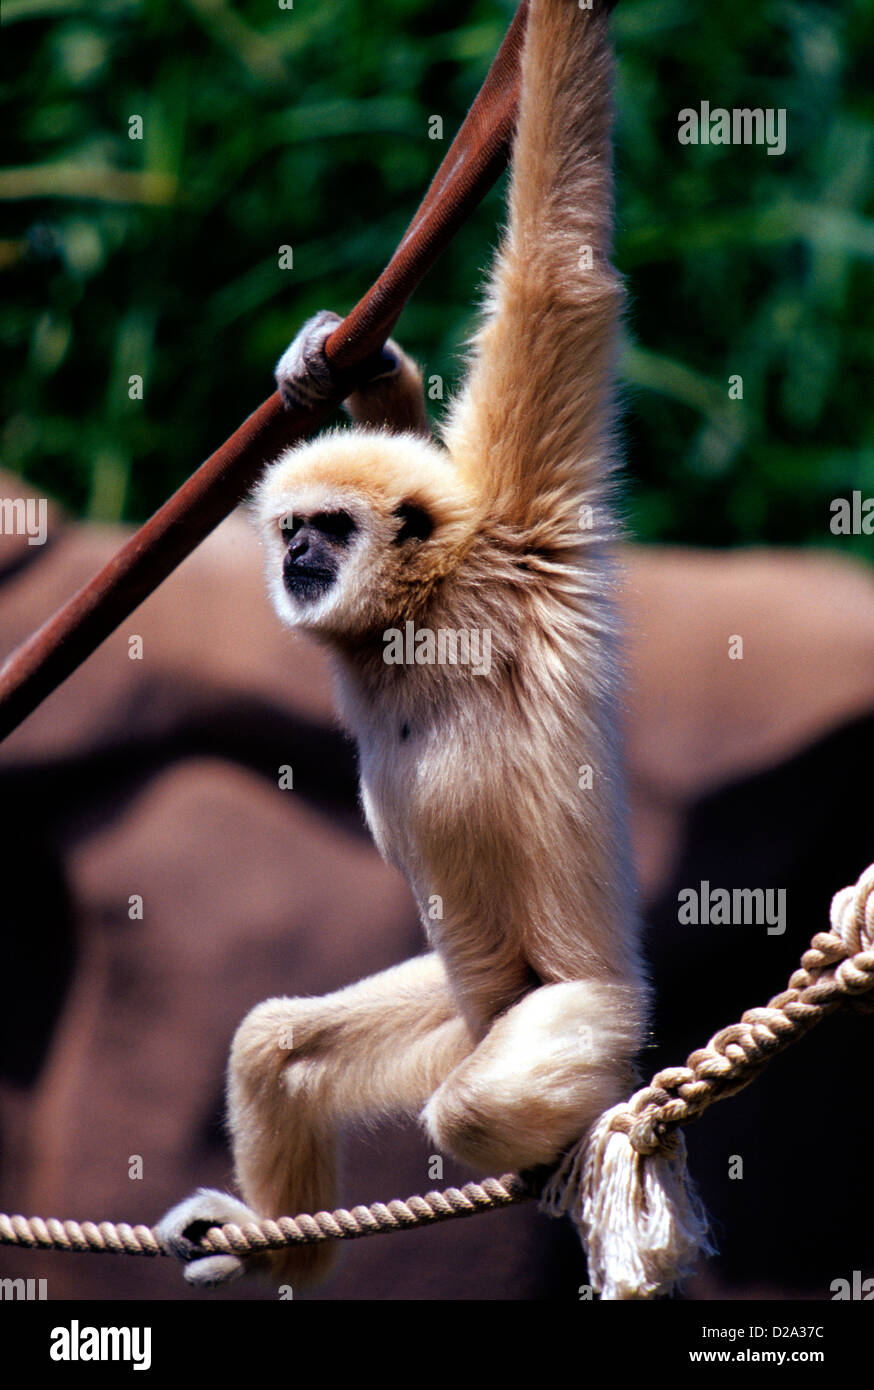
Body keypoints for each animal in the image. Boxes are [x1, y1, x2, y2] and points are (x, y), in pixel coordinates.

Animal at [157, 0, 647, 1289]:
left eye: (329, 527)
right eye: (290, 528)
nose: (297, 556)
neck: (411, 623)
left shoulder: (519, 540)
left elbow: (556, 278)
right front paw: (357, 361)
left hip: (579, 1021)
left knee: (471, 1106)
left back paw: (572, 1140)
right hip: (456, 1014)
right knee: (278, 1042)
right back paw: (275, 1252)